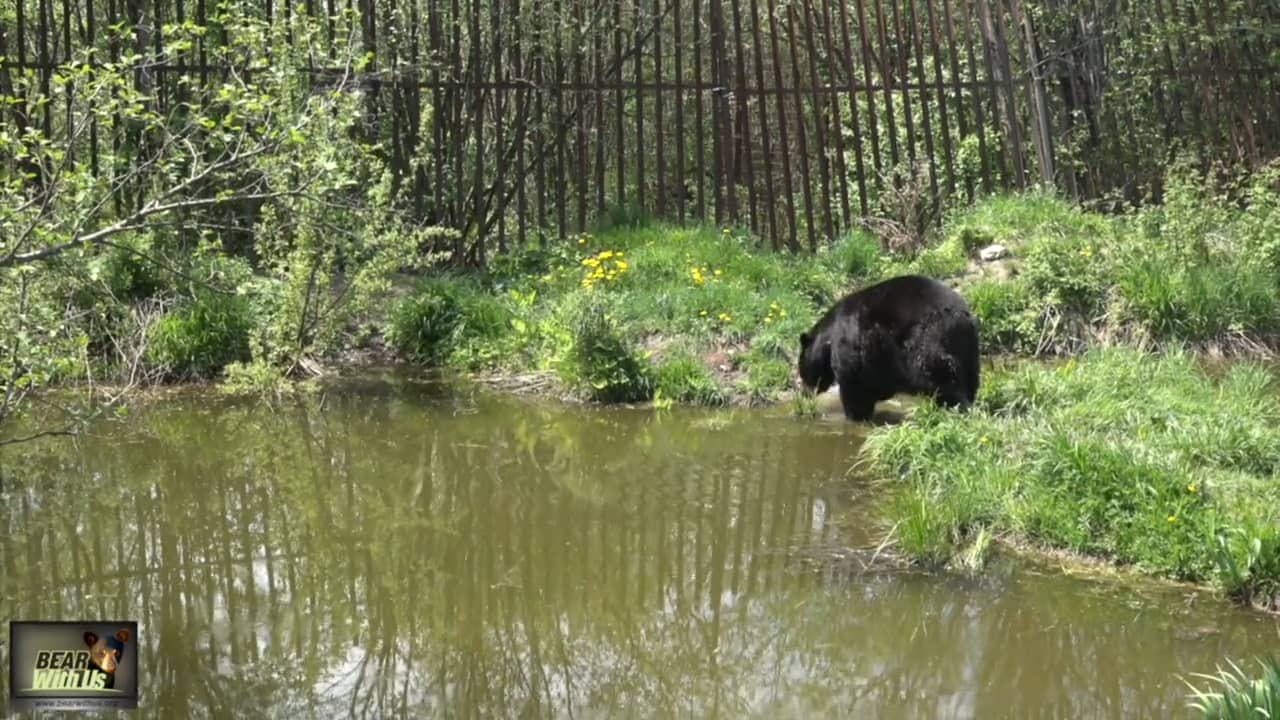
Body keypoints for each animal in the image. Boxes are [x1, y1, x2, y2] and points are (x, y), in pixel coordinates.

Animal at [798, 274, 980, 422]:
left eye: (801, 370)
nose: (804, 393)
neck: (828, 339)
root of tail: (962, 316)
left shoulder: (849, 344)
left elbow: (853, 386)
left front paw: (854, 416)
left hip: (927, 339)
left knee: (941, 377)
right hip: (968, 352)